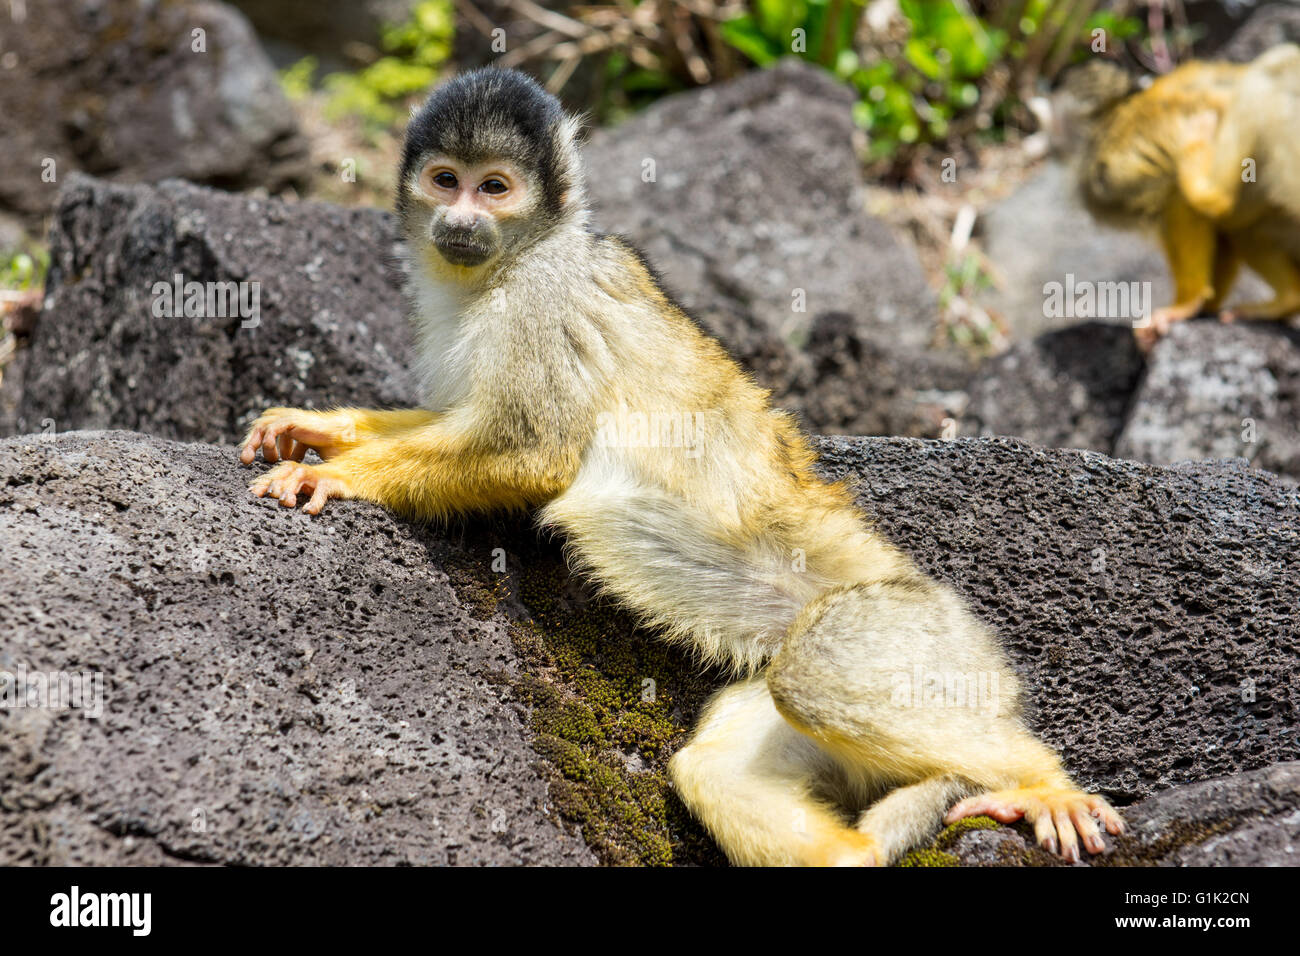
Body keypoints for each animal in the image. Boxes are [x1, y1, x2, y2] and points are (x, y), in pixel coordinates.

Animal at [239, 68, 1123, 866]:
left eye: (494, 188)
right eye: (445, 180)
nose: (458, 219)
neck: (508, 263)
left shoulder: (543, 292)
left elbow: (532, 450)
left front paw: (342, 473)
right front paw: (320, 426)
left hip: (914, 637)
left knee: (817, 681)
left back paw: (1042, 779)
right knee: (716, 763)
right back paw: (865, 847)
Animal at [1056, 46, 1300, 350]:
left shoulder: (1112, 173)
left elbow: (1176, 201)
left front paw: (1188, 303)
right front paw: (1205, 305)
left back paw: (1206, 186)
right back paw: (1288, 298)